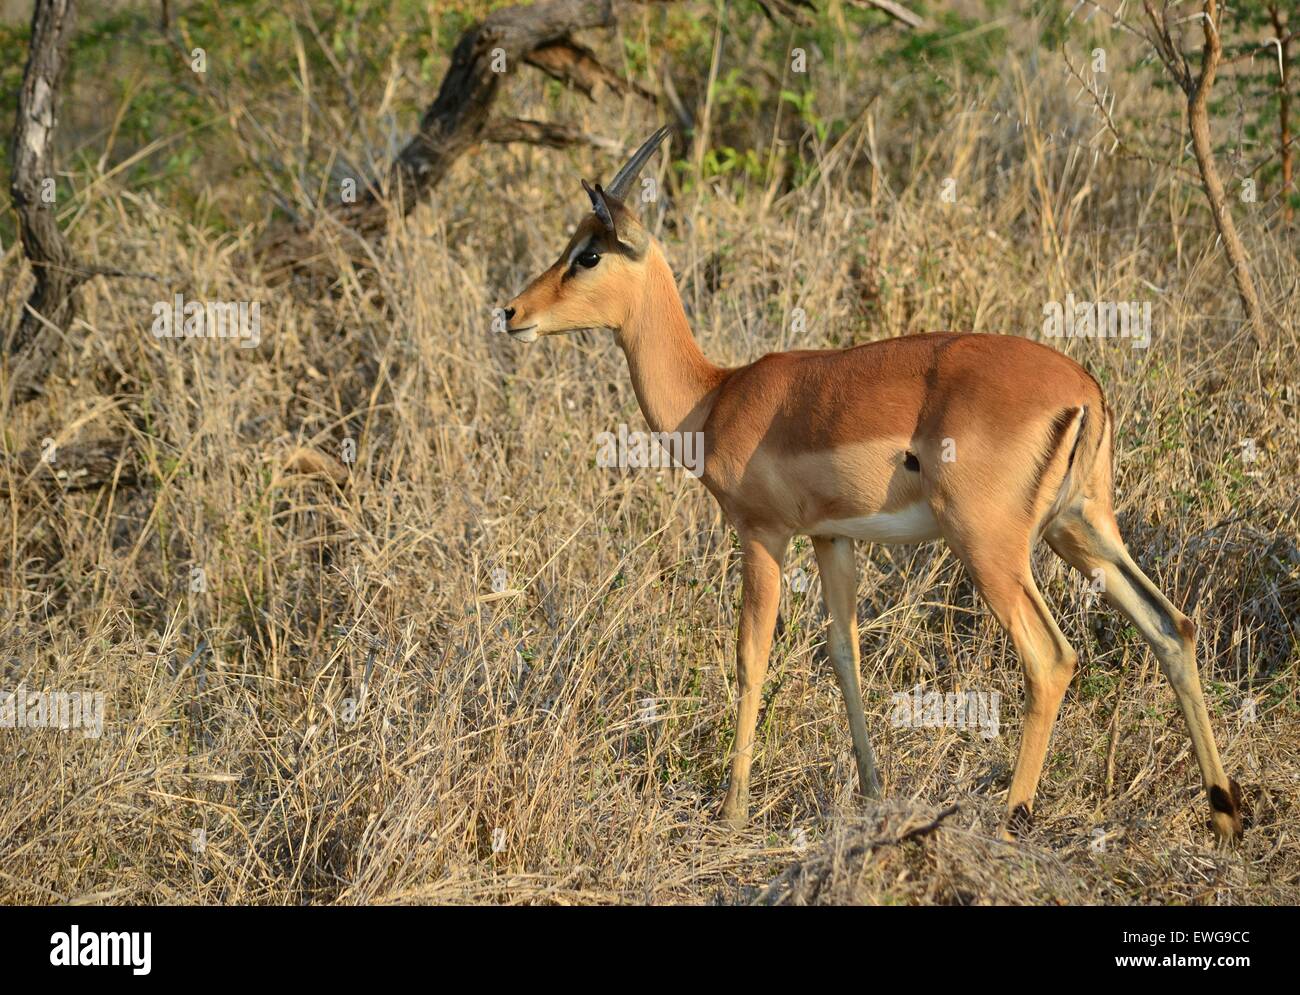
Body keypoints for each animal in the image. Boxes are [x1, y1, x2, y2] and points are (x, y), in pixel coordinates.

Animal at [500, 127, 1244, 846]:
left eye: (588, 254)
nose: (510, 312)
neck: (713, 397)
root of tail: (1084, 389)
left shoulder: (764, 536)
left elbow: (750, 656)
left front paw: (732, 813)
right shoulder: (832, 538)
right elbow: (846, 655)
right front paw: (871, 791)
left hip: (991, 547)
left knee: (1053, 658)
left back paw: (1013, 816)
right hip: (1081, 530)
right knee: (1172, 626)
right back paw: (1225, 814)